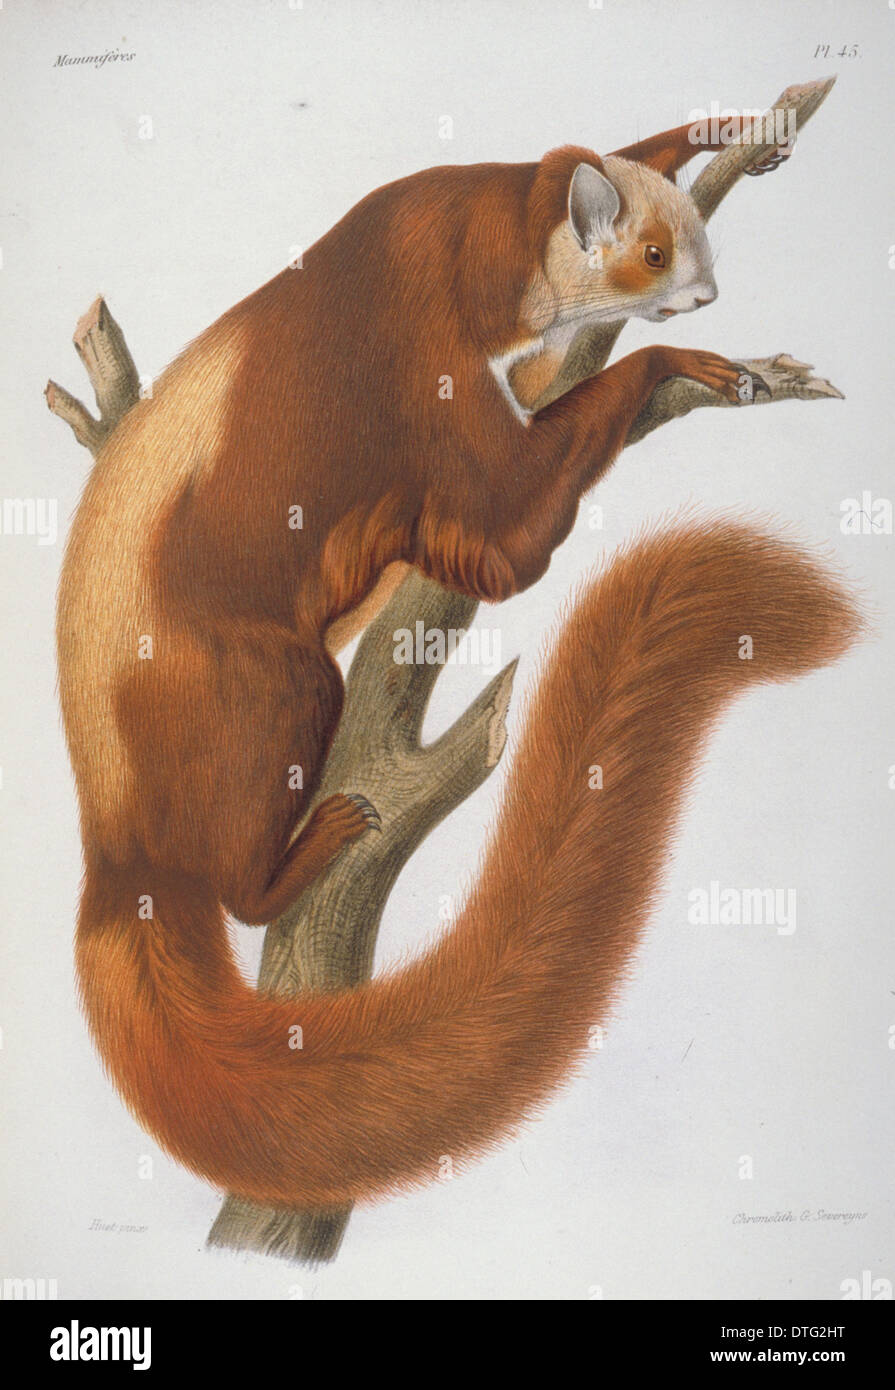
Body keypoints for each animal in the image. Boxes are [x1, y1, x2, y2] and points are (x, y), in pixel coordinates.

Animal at [56, 118, 856, 1209]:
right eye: (654, 254)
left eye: (695, 240)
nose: (705, 297)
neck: (465, 237)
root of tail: (114, 849)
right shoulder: (429, 361)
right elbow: (504, 536)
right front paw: (684, 357)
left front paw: (715, 134)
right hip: (270, 680)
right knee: (241, 850)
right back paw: (304, 850)